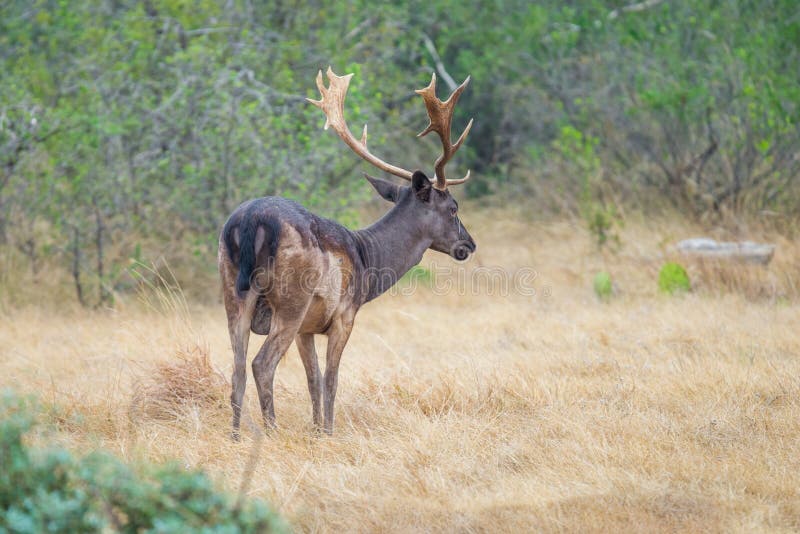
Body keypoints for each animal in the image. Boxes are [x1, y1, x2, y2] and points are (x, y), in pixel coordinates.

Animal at [218, 67, 476, 437]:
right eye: (453, 208)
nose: (468, 244)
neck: (369, 260)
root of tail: (252, 220)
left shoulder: (308, 328)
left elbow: (312, 379)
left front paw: (316, 430)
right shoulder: (344, 315)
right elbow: (331, 379)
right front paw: (328, 432)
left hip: (232, 292)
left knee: (236, 369)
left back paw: (236, 436)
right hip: (291, 299)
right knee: (261, 364)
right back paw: (271, 432)